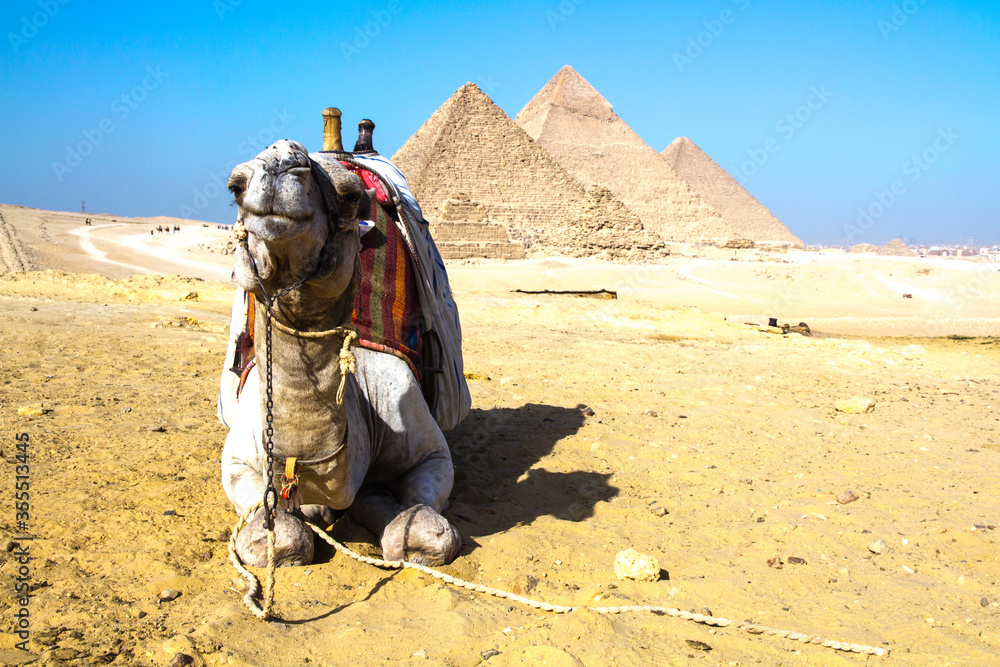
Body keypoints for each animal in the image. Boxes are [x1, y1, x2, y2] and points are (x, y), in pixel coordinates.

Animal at [220, 139, 462, 568]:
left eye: (350, 197)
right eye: (235, 186)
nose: (281, 159)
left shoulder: (428, 448)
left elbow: (421, 531)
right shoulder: (238, 459)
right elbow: (279, 537)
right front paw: (297, 521)